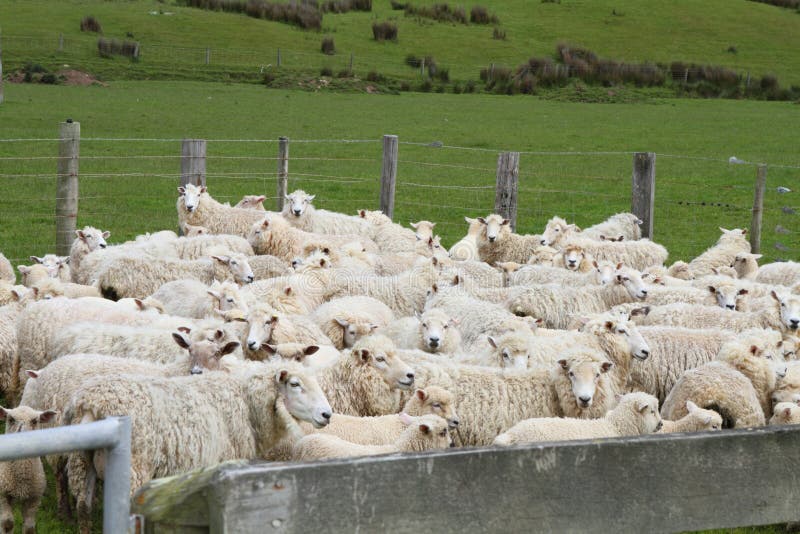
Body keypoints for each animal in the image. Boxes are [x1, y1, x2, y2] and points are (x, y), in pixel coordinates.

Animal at [0, 405, 58, 534]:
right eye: (11, 419)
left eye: (35, 421)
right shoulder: (3, 494)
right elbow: (7, 523)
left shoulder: (34, 499)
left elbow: (29, 527)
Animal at [65, 357, 332, 532]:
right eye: (295, 384)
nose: (327, 414)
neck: (246, 404)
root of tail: (91, 403)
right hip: (133, 468)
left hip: (81, 464)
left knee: (83, 507)